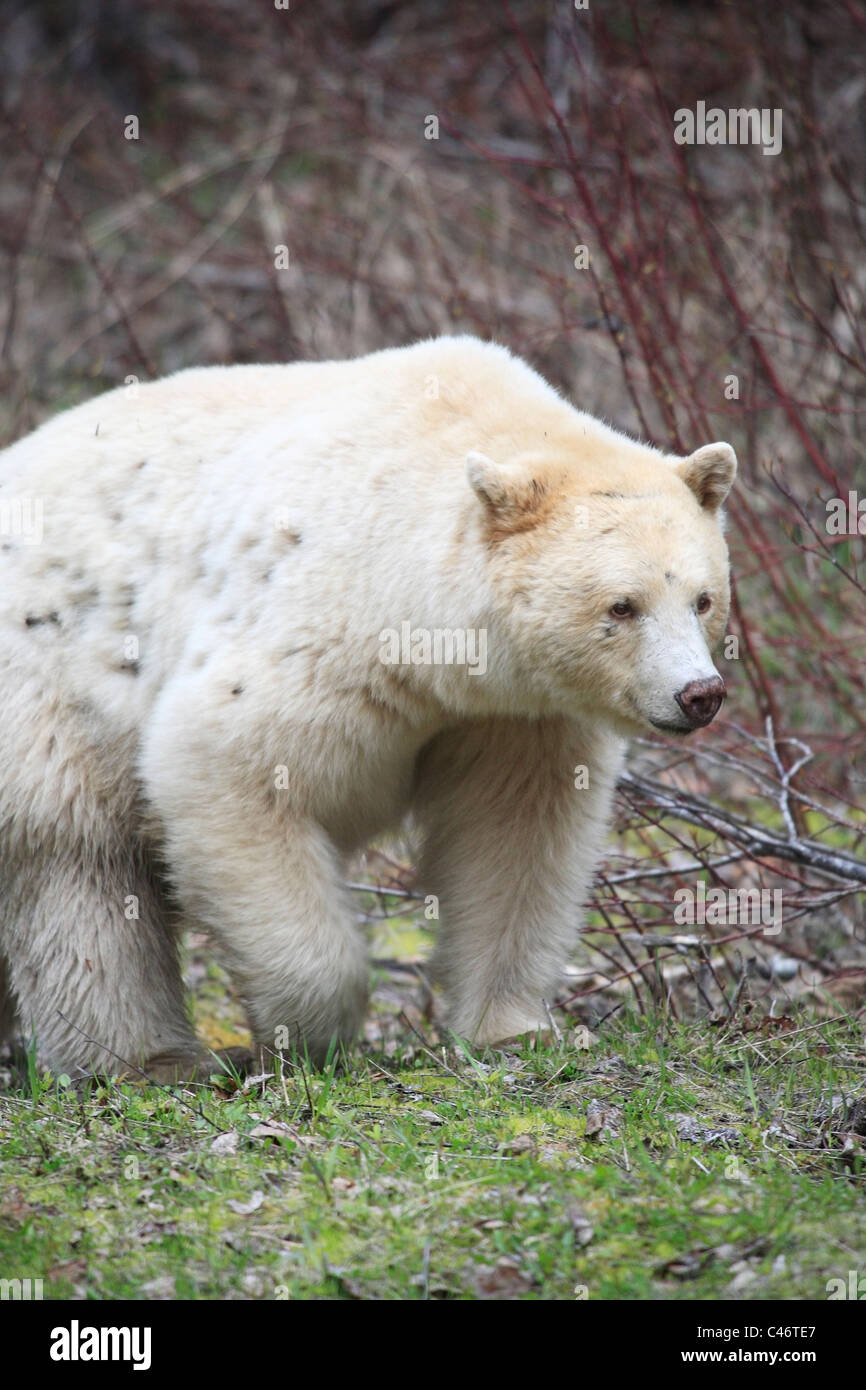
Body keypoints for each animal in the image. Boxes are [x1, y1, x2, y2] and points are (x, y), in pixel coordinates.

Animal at [0, 336, 736, 1077]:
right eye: (622, 605)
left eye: (703, 598)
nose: (699, 694)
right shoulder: (324, 631)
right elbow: (225, 762)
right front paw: (307, 1030)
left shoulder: (515, 715)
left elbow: (513, 833)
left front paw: (511, 1027)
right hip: (53, 686)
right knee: (78, 873)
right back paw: (148, 1060)